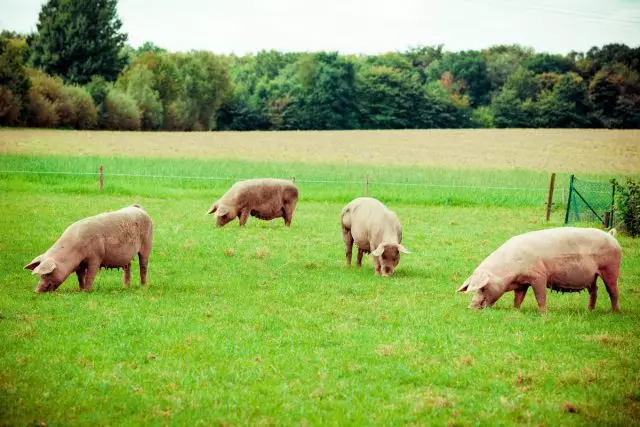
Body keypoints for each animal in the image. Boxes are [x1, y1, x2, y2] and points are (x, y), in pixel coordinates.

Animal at [23, 205, 154, 292]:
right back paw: (125, 287)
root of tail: (138, 208)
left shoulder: (96, 257)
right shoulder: (79, 265)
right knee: (127, 267)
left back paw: (143, 286)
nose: (36, 291)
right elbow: (80, 277)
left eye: (46, 274)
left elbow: (90, 274)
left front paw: (87, 291)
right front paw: (81, 290)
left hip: (147, 244)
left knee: (143, 266)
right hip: (127, 257)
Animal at [458, 227, 624, 314]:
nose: (470, 307)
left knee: (613, 291)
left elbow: (540, 295)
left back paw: (615, 312)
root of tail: (611, 235)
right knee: (594, 290)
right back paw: (589, 310)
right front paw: (515, 310)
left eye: (483, 288)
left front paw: (543, 314)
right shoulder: (522, 283)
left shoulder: (539, 276)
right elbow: (518, 298)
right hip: (592, 276)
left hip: (610, 268)